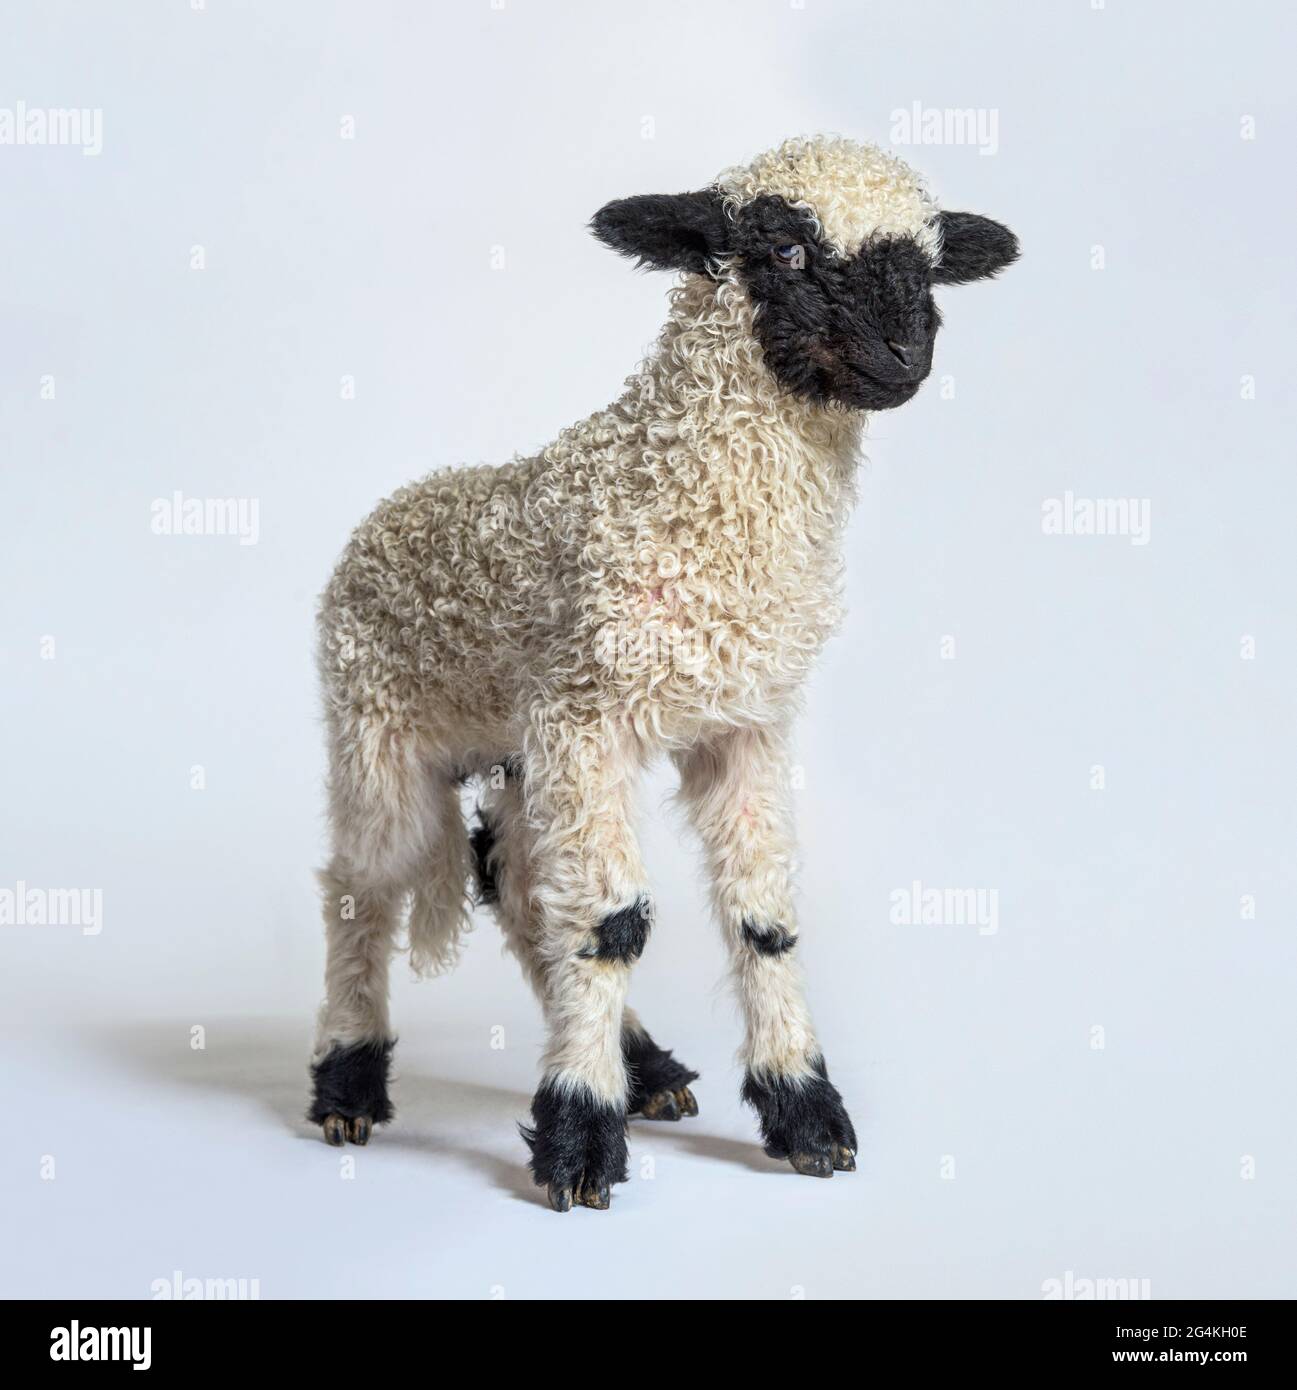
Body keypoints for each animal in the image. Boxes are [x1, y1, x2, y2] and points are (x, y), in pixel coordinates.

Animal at [308, 135, 1019, 1211]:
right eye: (785, 251)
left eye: (931, 268)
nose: (905, 356)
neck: (681, 490)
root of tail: (392, 507)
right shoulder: (585, 713)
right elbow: (610, 923)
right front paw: (579, 1141)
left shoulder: (742, 723)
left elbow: (761, 919)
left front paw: (804, 1111)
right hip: (375, 723)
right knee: (365, 885)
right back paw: (349, 1081)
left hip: (518, 748)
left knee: (518, 885)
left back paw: (643, 1068)